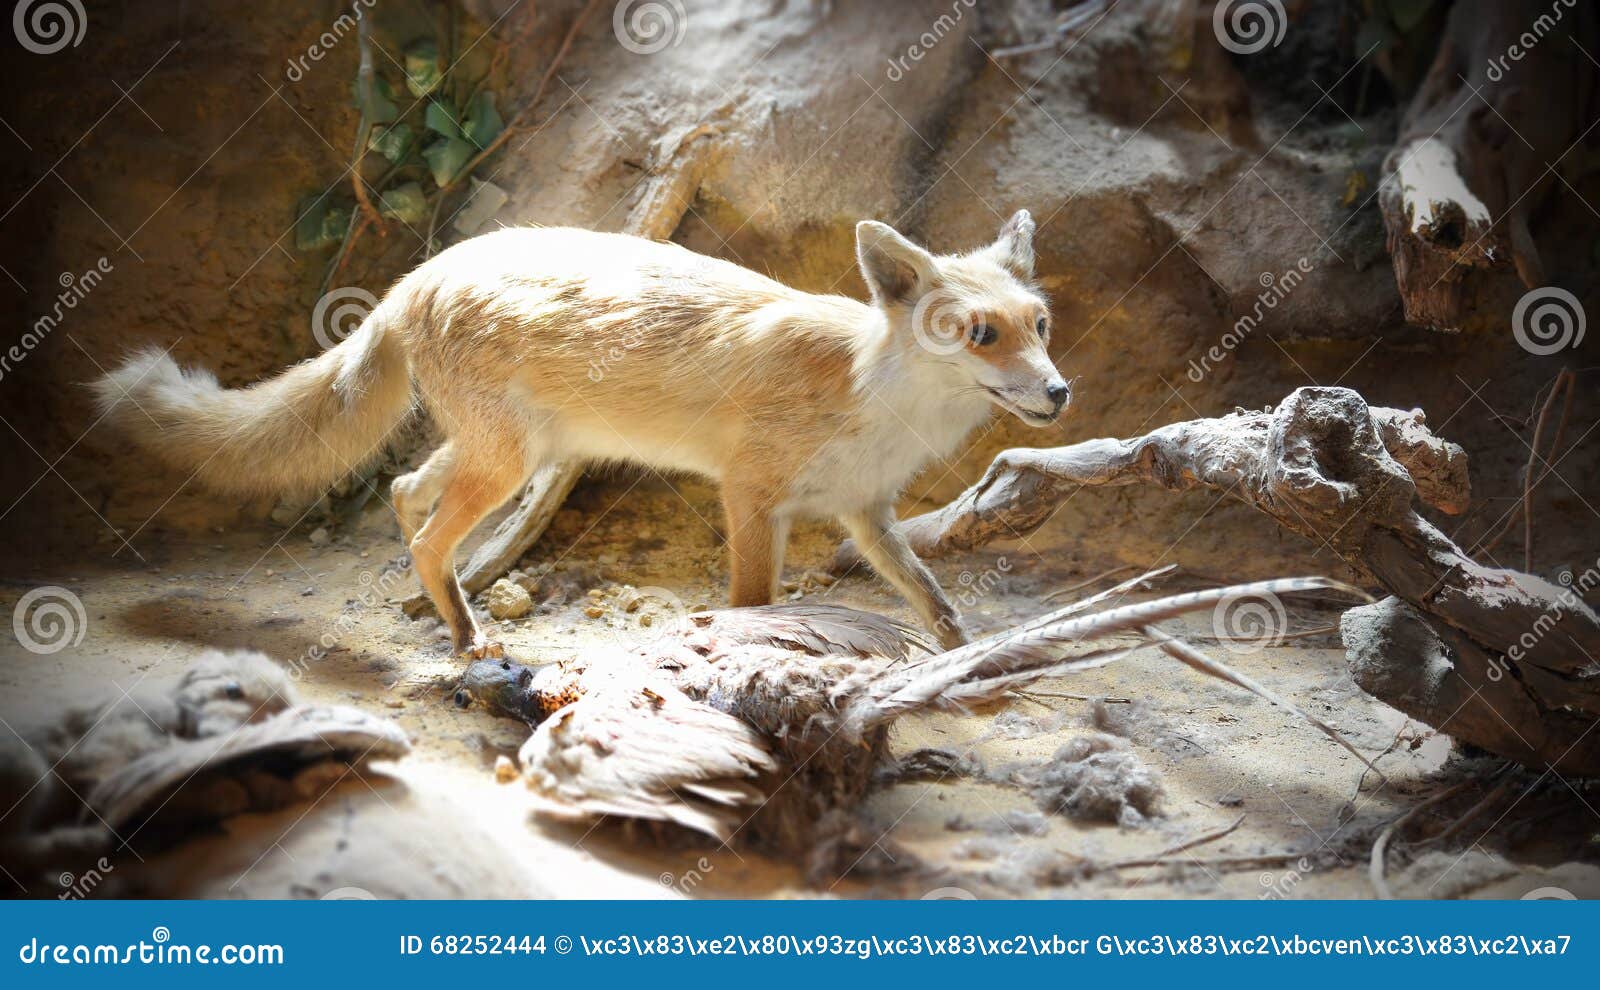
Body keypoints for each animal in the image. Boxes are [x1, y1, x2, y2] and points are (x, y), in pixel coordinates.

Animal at [92, 210, 1070, 658]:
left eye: (1041, 324)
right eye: (981, 334)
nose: (1060, 393)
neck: (872, 394)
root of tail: (420, 275)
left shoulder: (867, 514)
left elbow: (935, 603)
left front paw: (964, 664)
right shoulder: (751, 498)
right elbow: (753, 604)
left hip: (511, 453)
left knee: (407, 494)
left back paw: (439, 606)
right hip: (507, 463)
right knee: (428, 534)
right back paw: (465, 636)